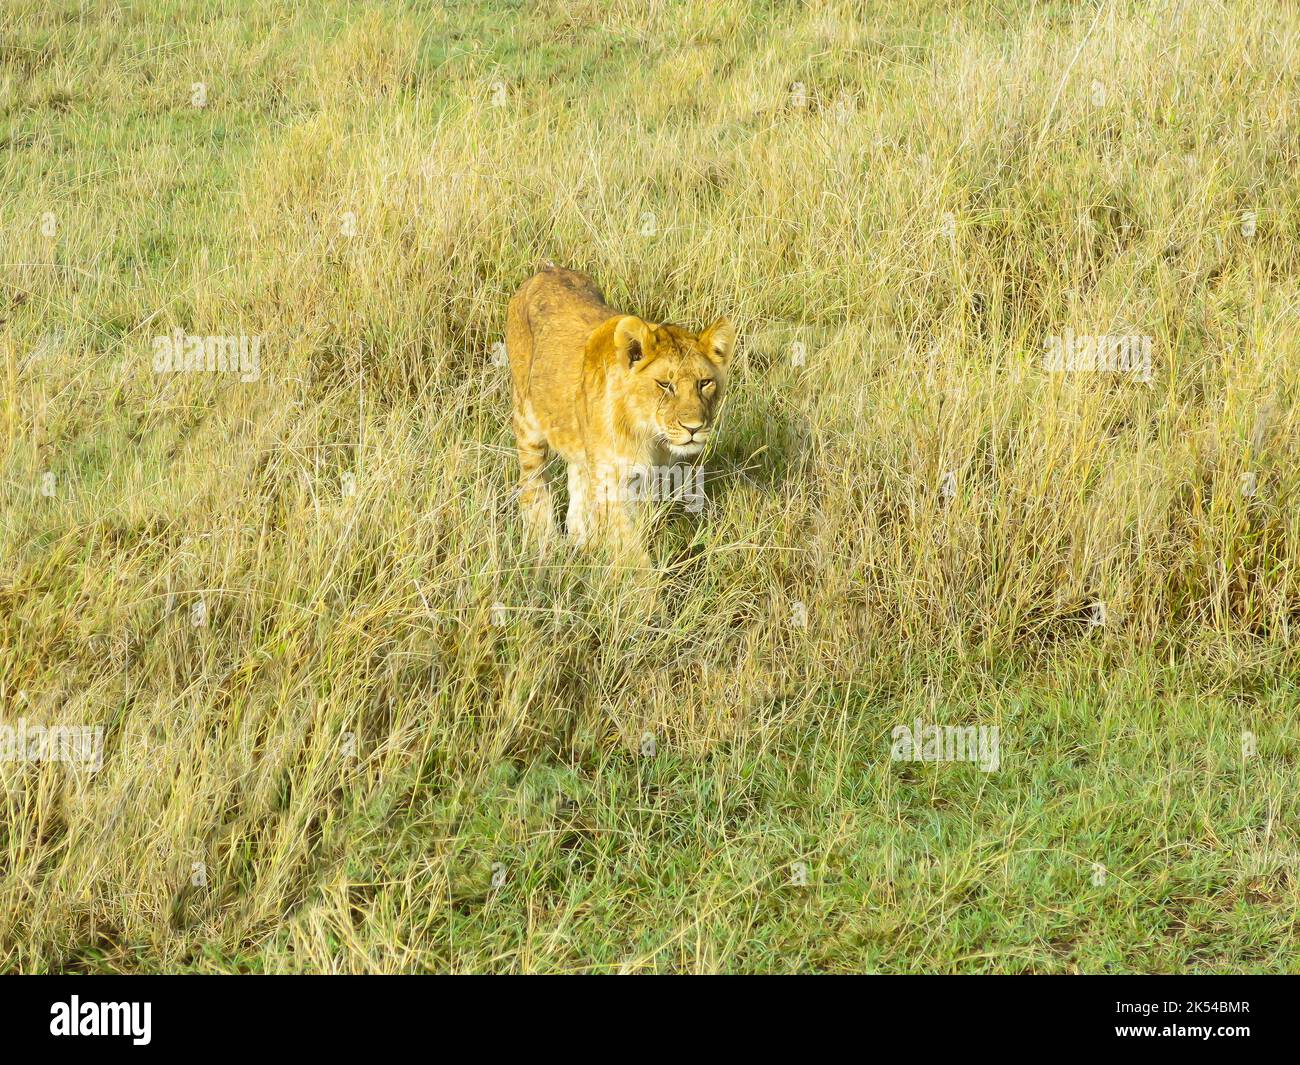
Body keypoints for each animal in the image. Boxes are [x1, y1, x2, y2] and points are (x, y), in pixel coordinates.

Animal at [505, 266, 735, 560]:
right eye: (665, 384)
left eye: (704, 383)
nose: (693, 427)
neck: (648, 434)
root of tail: (549, 269)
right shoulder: (610, 481)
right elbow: (627, 543)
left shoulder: (650, 479)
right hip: (527, 423)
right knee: (532, 485)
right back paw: (543, 546)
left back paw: (581, 542)